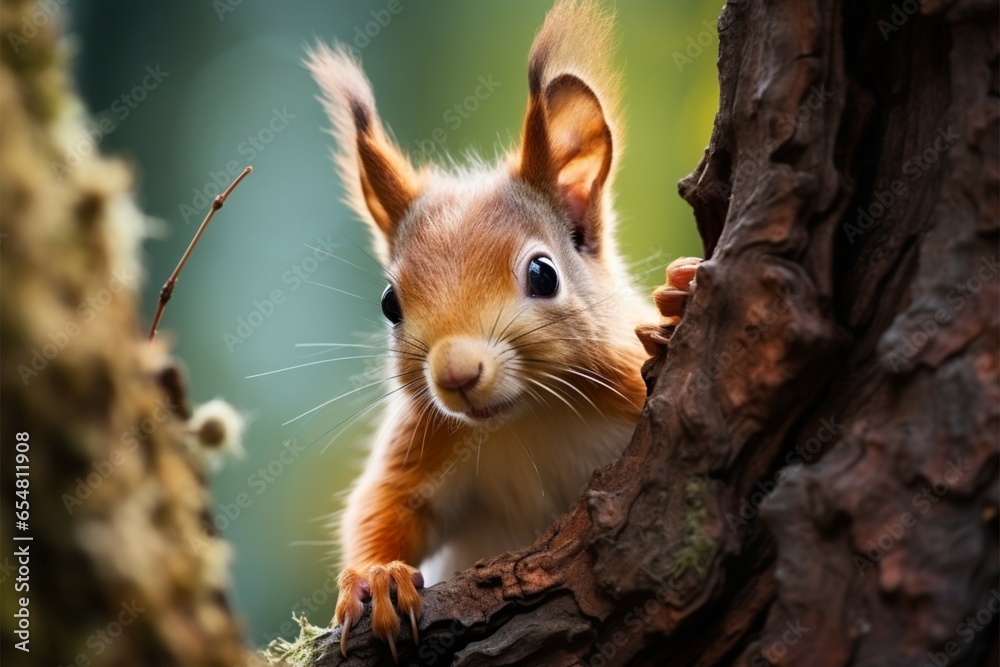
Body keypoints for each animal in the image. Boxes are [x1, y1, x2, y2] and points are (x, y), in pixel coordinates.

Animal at [306, 0, 700, 659]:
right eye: (389, 303)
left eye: (543, 273)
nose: (456, 374)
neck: (527, 418)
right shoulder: (427, 438)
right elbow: (382, 504)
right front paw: (376, 577)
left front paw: (677, 297)